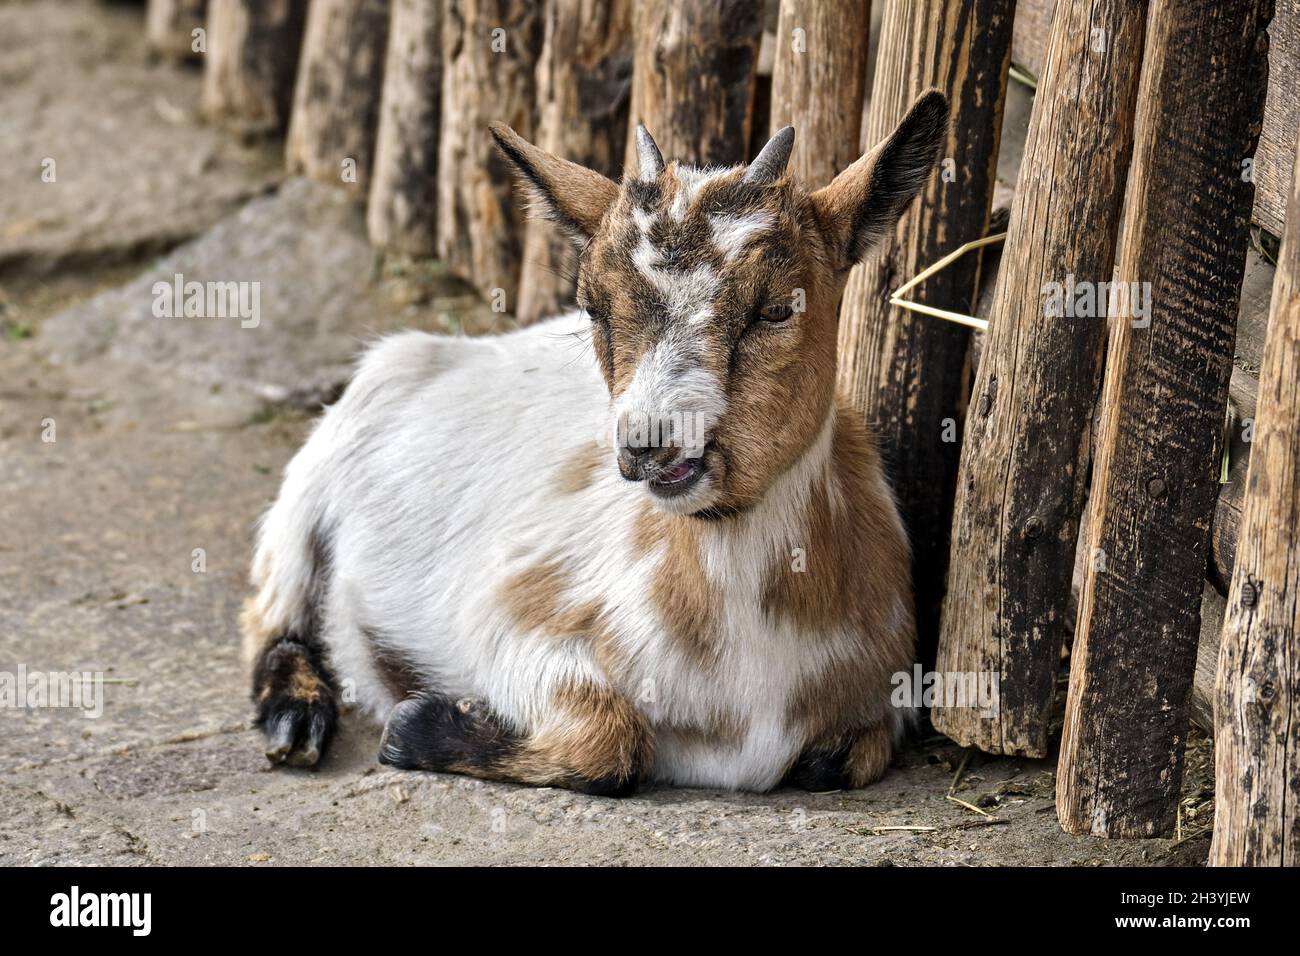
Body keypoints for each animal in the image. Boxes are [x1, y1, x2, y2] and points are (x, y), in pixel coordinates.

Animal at [242, 90, 950, 795]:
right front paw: (420, 724)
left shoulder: (883, 700)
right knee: (272, 609)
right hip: (317, 477)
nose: (647, 446)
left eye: (777, 308)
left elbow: (837, 763)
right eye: (593, 307)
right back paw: (294, 717)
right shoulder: (513, 617)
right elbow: (609, 741)